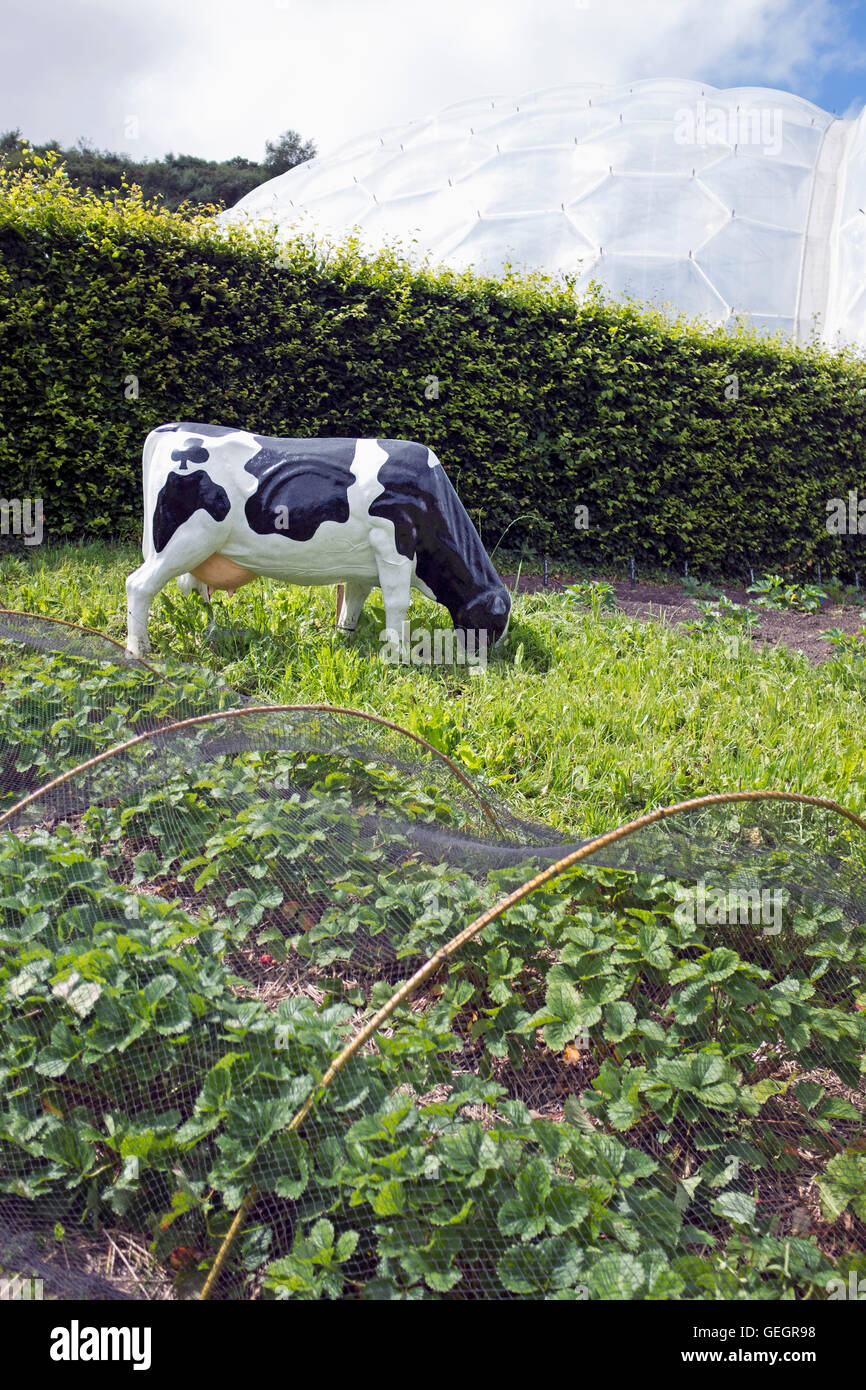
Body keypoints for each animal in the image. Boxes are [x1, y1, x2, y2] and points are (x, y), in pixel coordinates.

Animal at [125, 424, 511, 659]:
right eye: (495, 624)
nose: (484, 661)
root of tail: (173, 429)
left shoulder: (364, 563)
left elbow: (353, 601)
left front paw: (343, 639)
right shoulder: (393, 541)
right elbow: (397, 603)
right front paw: (397, 653)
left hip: (195, 548)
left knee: (191, 589)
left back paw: (209, 634)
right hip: (184, 539)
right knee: (139, 584)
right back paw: (138, 648)